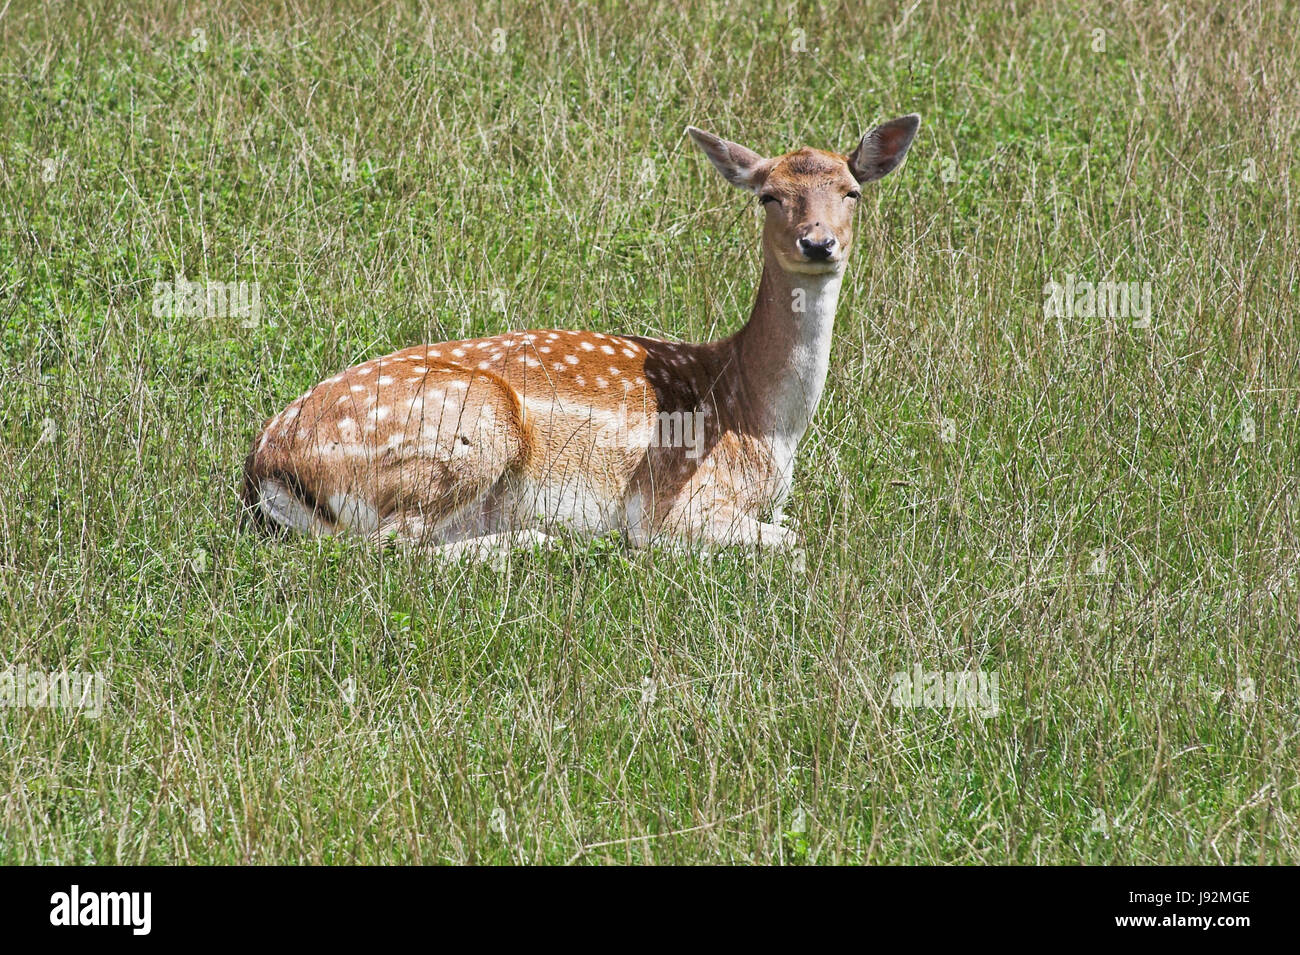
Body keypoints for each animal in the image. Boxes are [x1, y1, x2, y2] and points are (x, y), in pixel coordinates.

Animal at [241, 114, 920, 560]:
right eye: (769, 196)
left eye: (852, 192)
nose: (819, 242)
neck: (761, 421)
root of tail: (264, 467)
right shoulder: (676, 502)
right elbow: (788, 541)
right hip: (470, 429)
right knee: (385, 548)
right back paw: (535, 544)